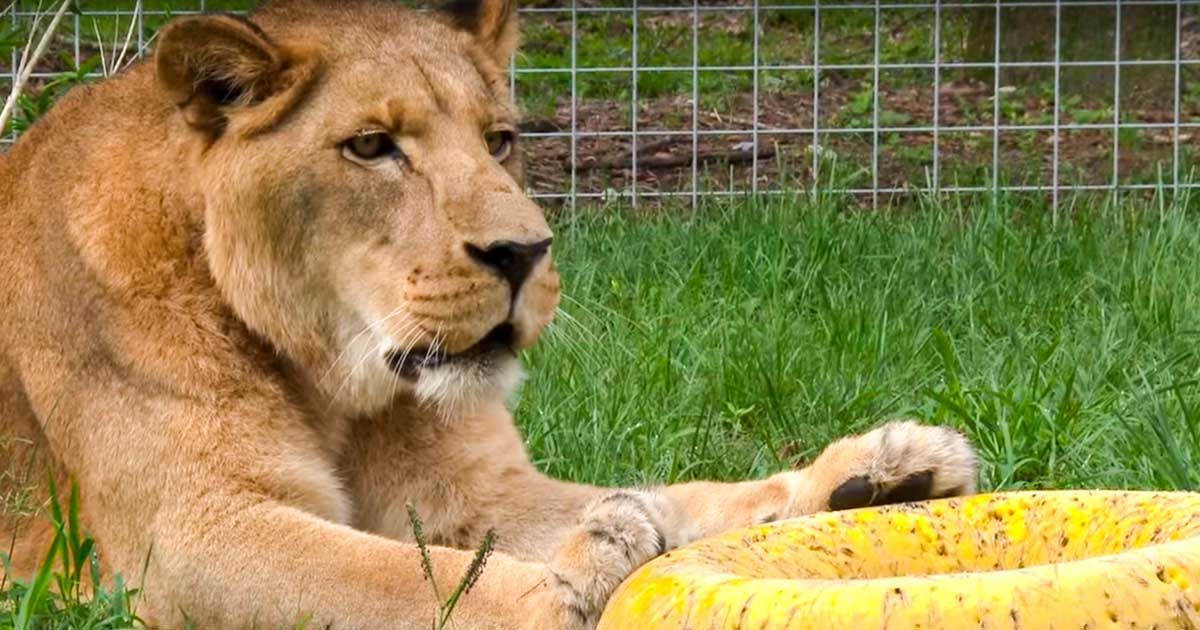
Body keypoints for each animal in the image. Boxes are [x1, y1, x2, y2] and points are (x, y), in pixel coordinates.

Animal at [0, 1, 978, 627]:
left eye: (500, 140)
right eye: (371, 146)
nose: (521, 254)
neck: (337, 386)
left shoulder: (472, 492)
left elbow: (699, 496)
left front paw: (880, 475)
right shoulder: (186, 539)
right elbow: (415, 584)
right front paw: (586, 582)